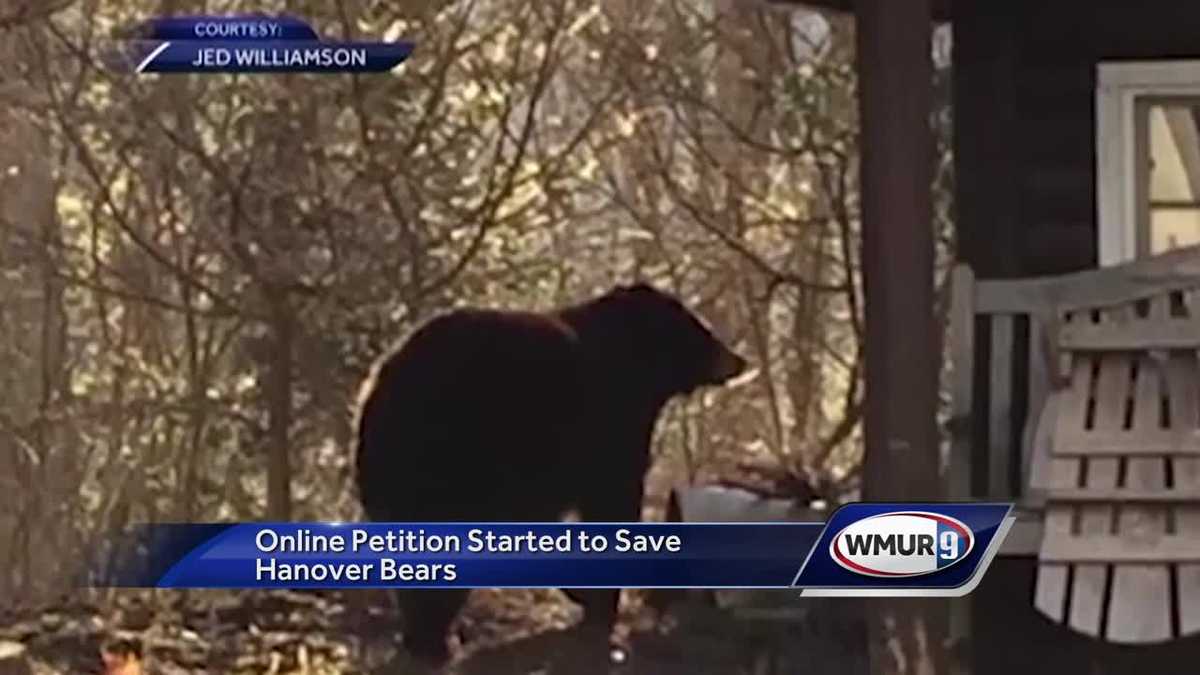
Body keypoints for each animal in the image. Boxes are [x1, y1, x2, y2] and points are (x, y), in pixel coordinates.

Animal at [353, 283, 746, 666]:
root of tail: (382, 390)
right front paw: (599, 604)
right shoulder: (605, 427)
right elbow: (611, 501)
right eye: (699, 329)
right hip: (449, 460)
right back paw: (435, 641)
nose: (737, 360)